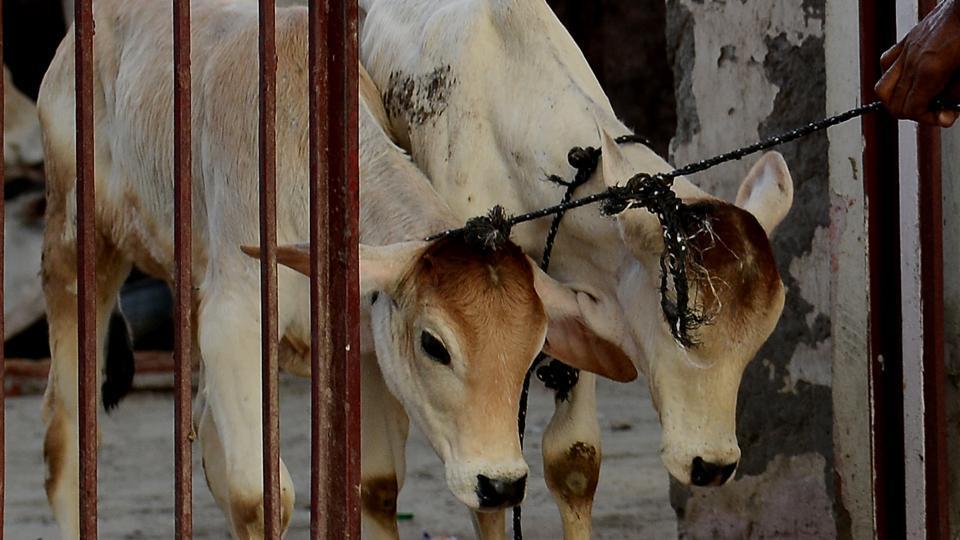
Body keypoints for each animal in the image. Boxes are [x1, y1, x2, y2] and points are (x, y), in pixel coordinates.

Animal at [36, 1, 635, 538]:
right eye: (434, 344)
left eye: (534, 352)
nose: (502, 484)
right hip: (75, 248)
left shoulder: (363, 349)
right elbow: (260, 498)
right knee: (65, 439)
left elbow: (372, 486)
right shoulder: (233, 323)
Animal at [360, 0, 793, 537]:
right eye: (675, 315)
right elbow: (486, 495)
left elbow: (573, 462)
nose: (710, 466)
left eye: (762, 334)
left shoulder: (580, 308)